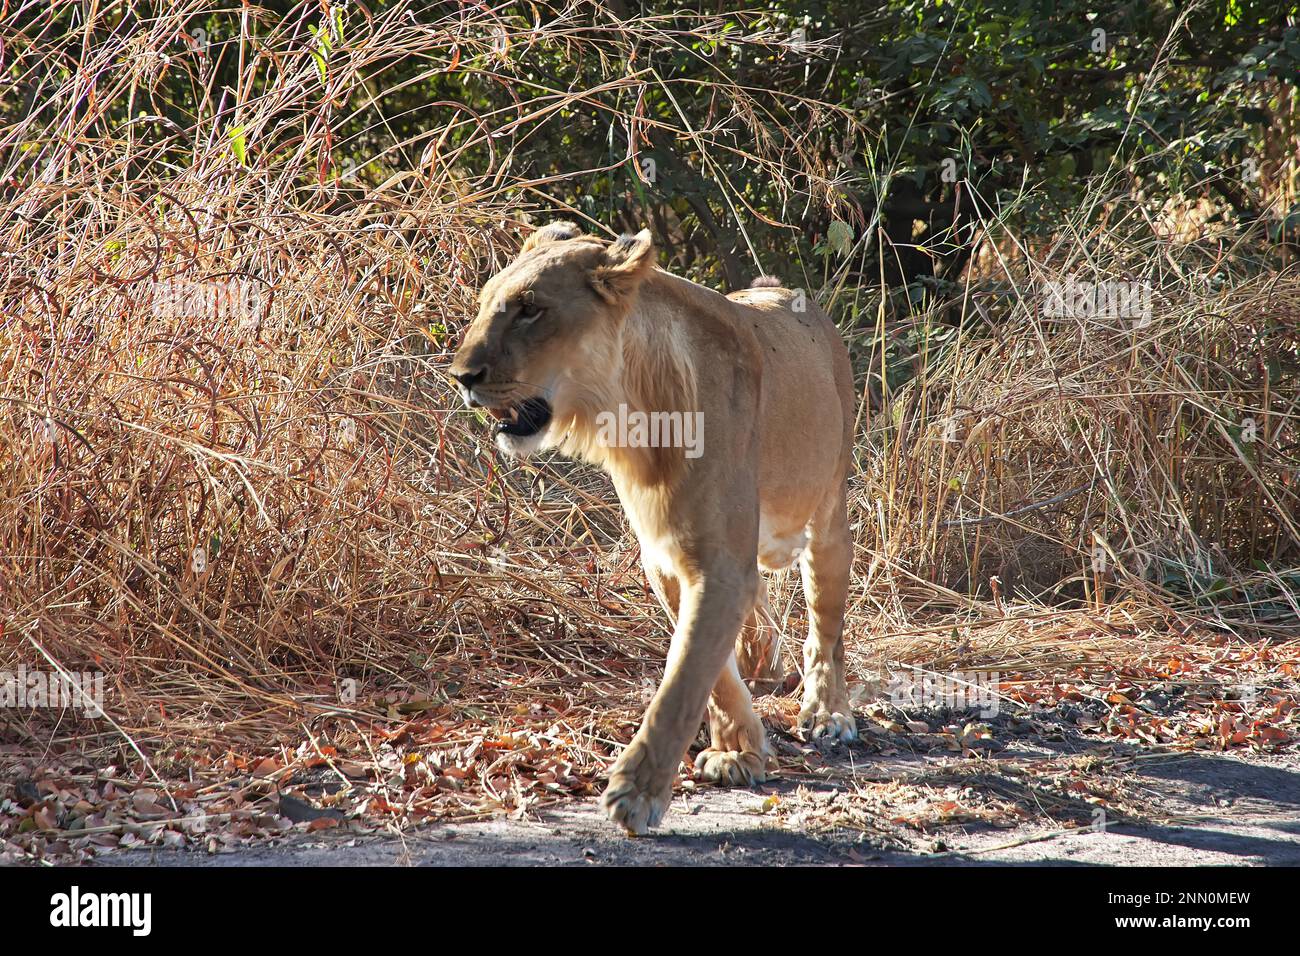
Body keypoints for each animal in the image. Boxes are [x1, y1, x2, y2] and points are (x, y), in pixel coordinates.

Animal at [449, 222, 857, 834]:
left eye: (530, 309)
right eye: (485, 305)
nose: (461, 376)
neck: (628, 416)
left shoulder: (717, 565)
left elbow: (683, 681)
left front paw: (636, 791)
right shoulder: (667, 558)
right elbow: (712, 674)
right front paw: (738, 750)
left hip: (828, 514)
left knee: (824, 630)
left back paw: (827, 711)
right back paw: (762, 659)